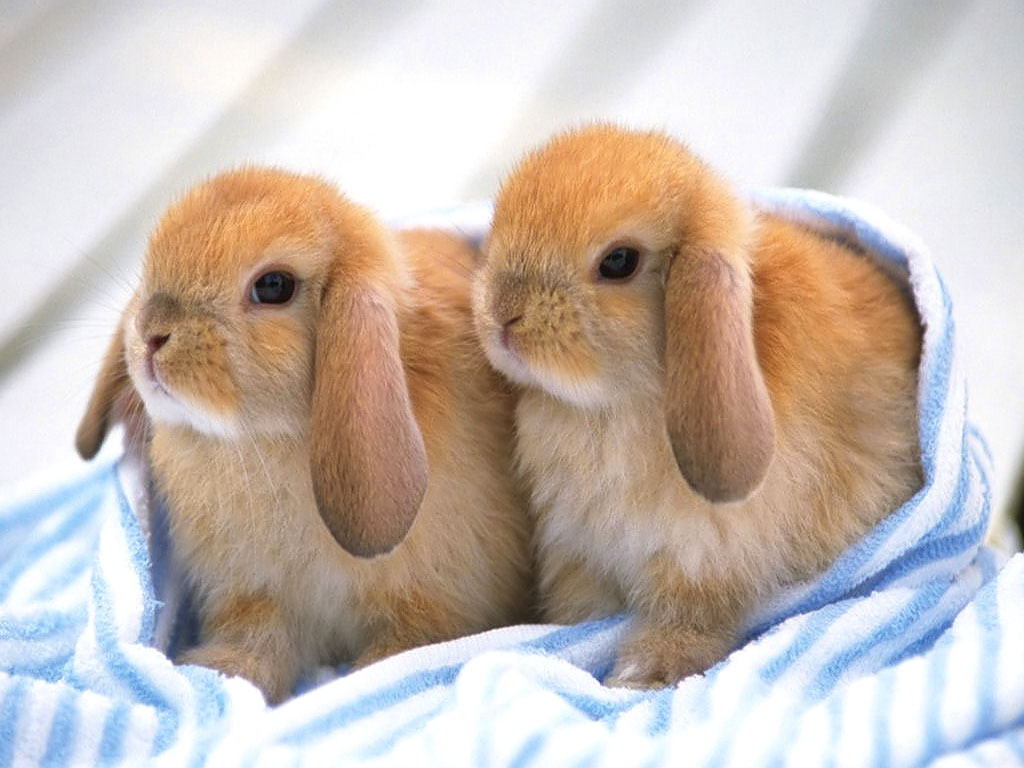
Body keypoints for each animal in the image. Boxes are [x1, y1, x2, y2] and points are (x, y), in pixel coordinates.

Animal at [76, 167, 533, 703]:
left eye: (273, 286)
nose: (151, 333)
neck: (272, 440)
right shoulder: (258, 598)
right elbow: (259, 646)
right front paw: (217, 671)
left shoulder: (435, 604)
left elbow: (400, 651)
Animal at [472, 125, 923, 688]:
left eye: (618, 261)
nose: (502, 315)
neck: (617, 405)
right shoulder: (578, 547)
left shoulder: (702, 558)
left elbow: (690, 618)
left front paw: (644, 672)